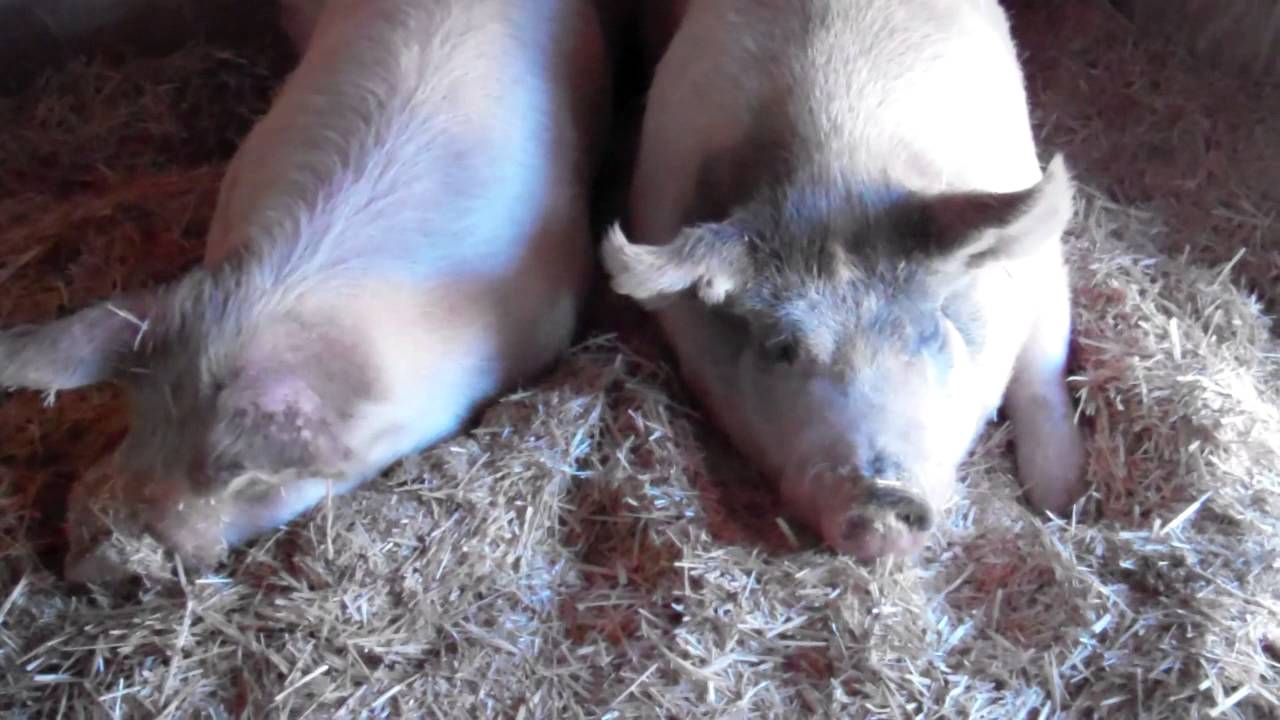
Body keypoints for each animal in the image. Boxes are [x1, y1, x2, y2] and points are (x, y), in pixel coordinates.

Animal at [602, 0, 1087, 562]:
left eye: (929, 332)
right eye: (782, 348)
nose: (881, 497)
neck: (837, 169)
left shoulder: (1044, 265)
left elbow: (1042, 370)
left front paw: (1061, 498)